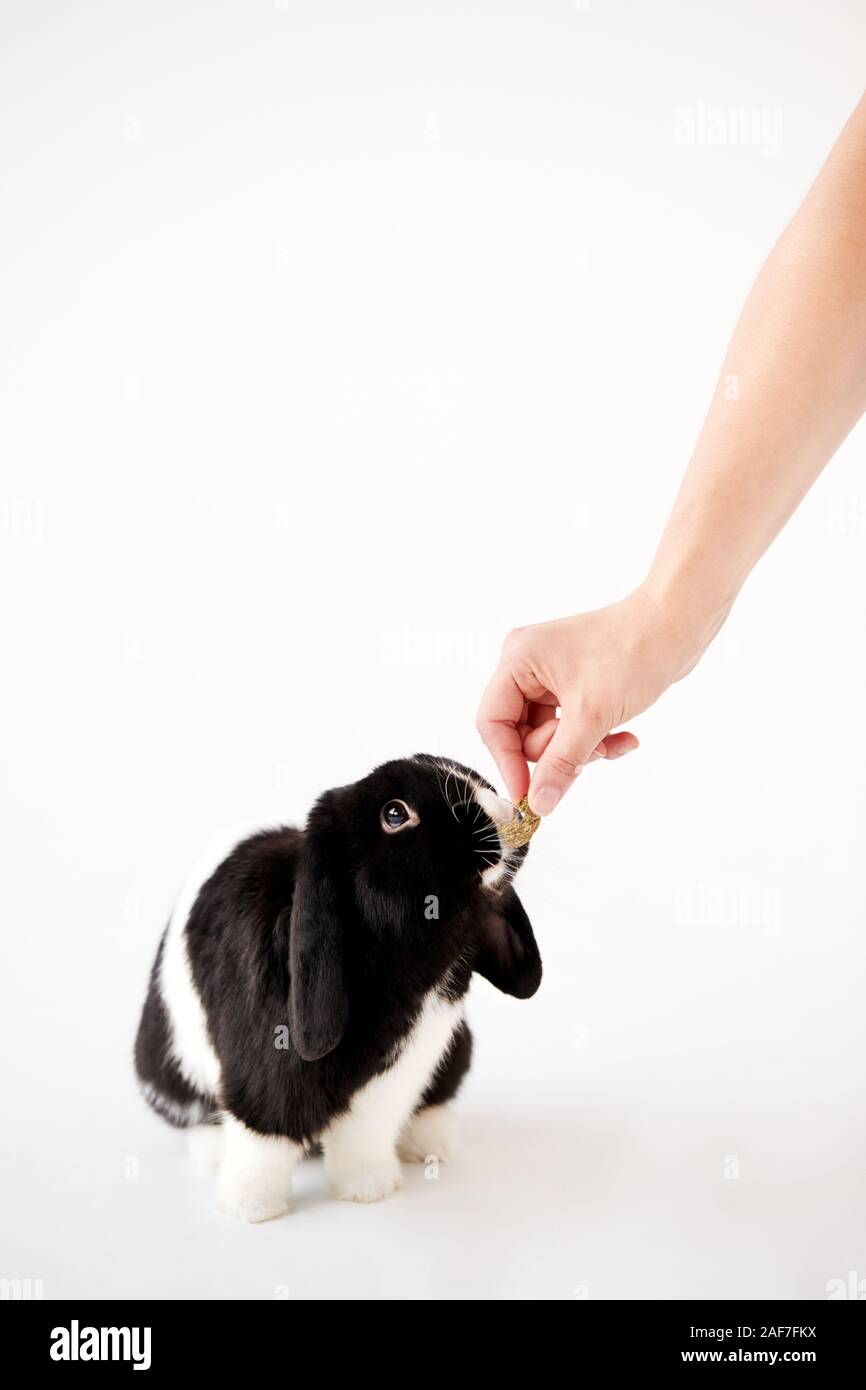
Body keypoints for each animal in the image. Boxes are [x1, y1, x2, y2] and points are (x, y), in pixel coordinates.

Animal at [134, 753, 541, 1222]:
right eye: (395, 814)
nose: (506, 814)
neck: (407, 959)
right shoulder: (266, 1071)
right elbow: (264, 1135)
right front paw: (250, 1207)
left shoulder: (396, 1076)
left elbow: (363, 1136)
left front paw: (367, 1191)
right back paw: (214, 1152)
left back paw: (434, 1144)